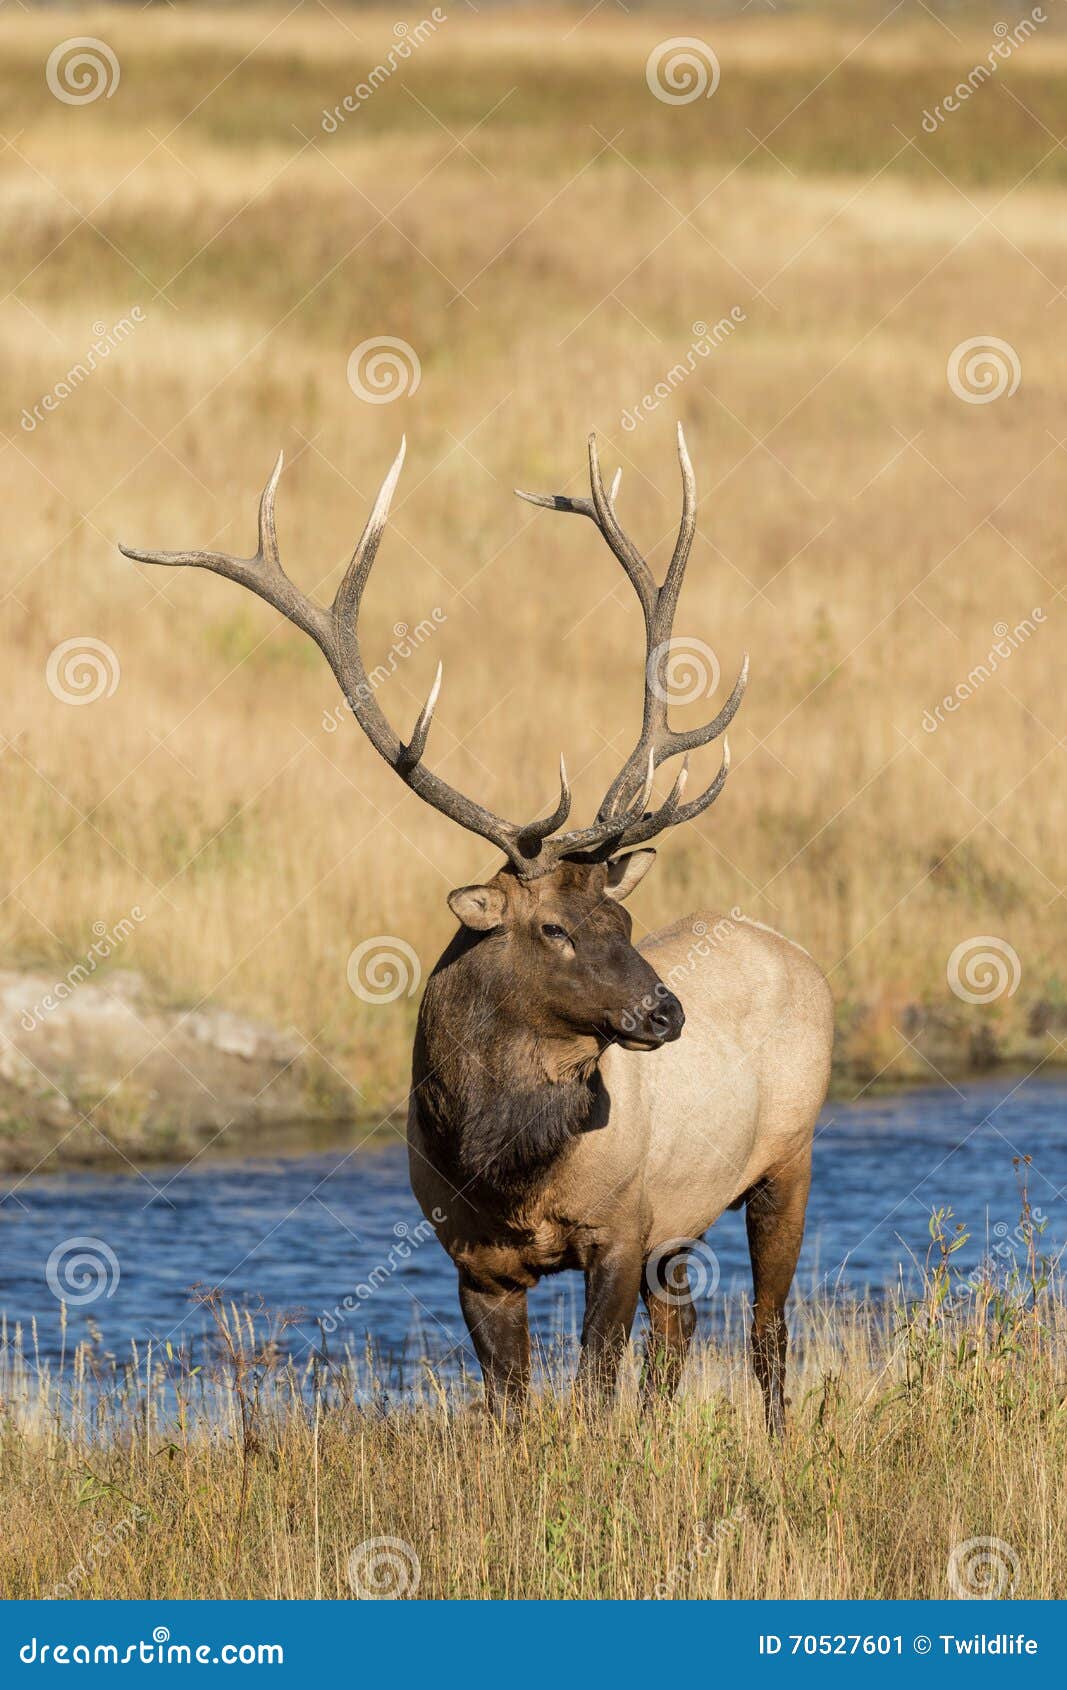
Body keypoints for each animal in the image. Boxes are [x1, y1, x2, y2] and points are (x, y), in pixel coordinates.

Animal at [120, 425, 833, 1434]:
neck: (505, 1170)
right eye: (554, 929)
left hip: (788, 1157)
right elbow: (509, 1407)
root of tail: (796, 950)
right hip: (690, 1213)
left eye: (622, 915)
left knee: (769, 1326)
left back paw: (773, 1439)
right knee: (686, 1324)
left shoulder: (621, 1226)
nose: (665, 1013)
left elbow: (593, 1389)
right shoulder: (473, 1259)